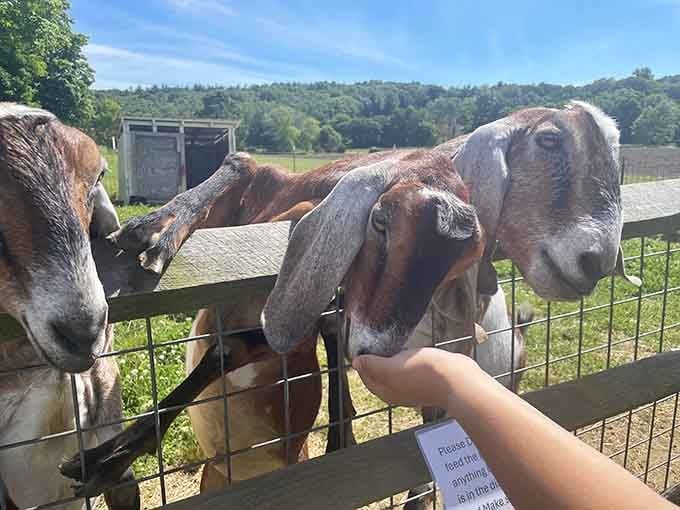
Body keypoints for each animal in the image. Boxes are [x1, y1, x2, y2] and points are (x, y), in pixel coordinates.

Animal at [58, 149, 487, 498]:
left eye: (455, 266)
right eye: (380, 220)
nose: (374, 350)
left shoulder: (306, 329)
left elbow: (233, 348)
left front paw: (104, 463)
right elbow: (240, 162)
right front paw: (154, 227)